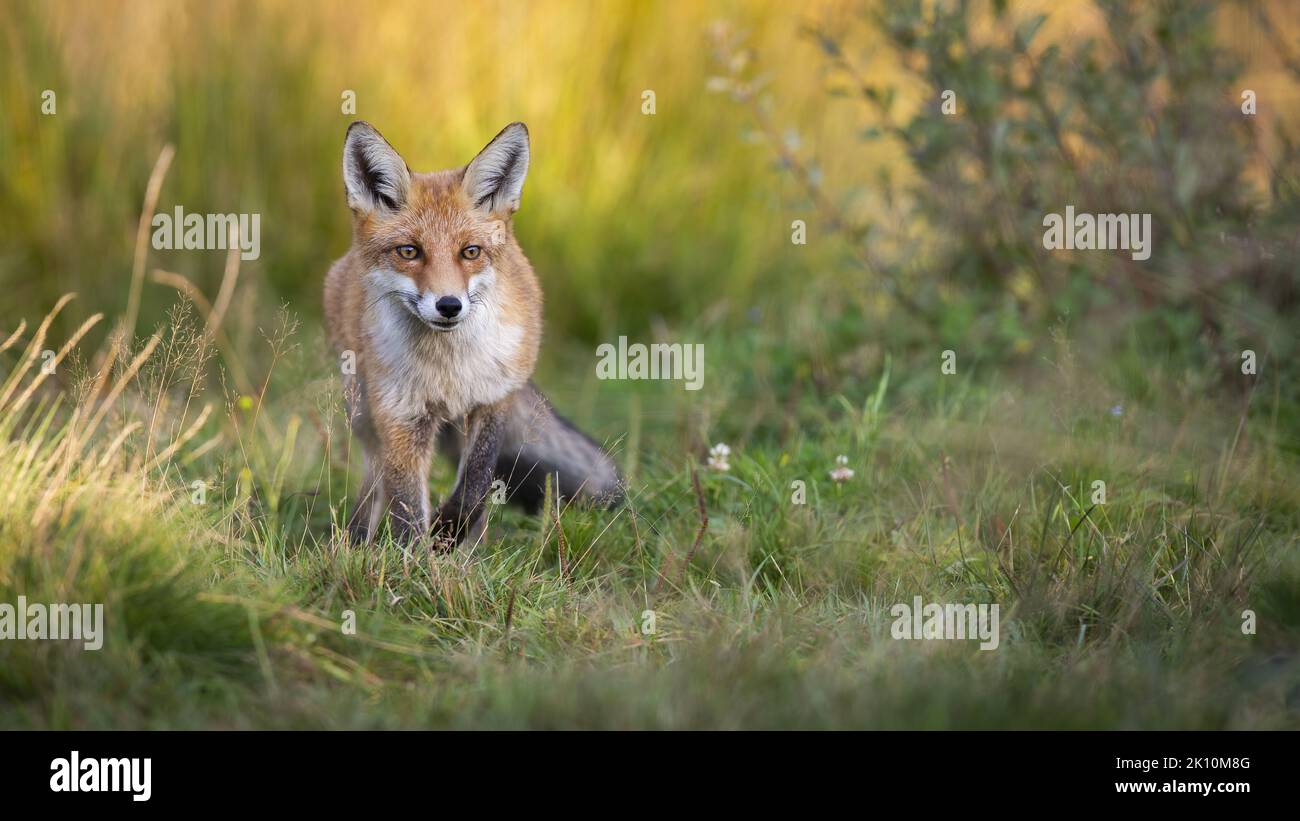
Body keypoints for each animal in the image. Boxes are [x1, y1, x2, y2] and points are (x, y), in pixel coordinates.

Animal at [324, 121, 623, 549]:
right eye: (409, 251)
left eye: (470, 252)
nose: (449, 305)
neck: (448, 367)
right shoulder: (400, 413)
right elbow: (406, 504)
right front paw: (412, 559)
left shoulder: (492, 400)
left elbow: (475, 487)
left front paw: (447, 534)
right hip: (362, 408)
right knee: (375, 476)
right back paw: (355, 542)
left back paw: (470, 552)